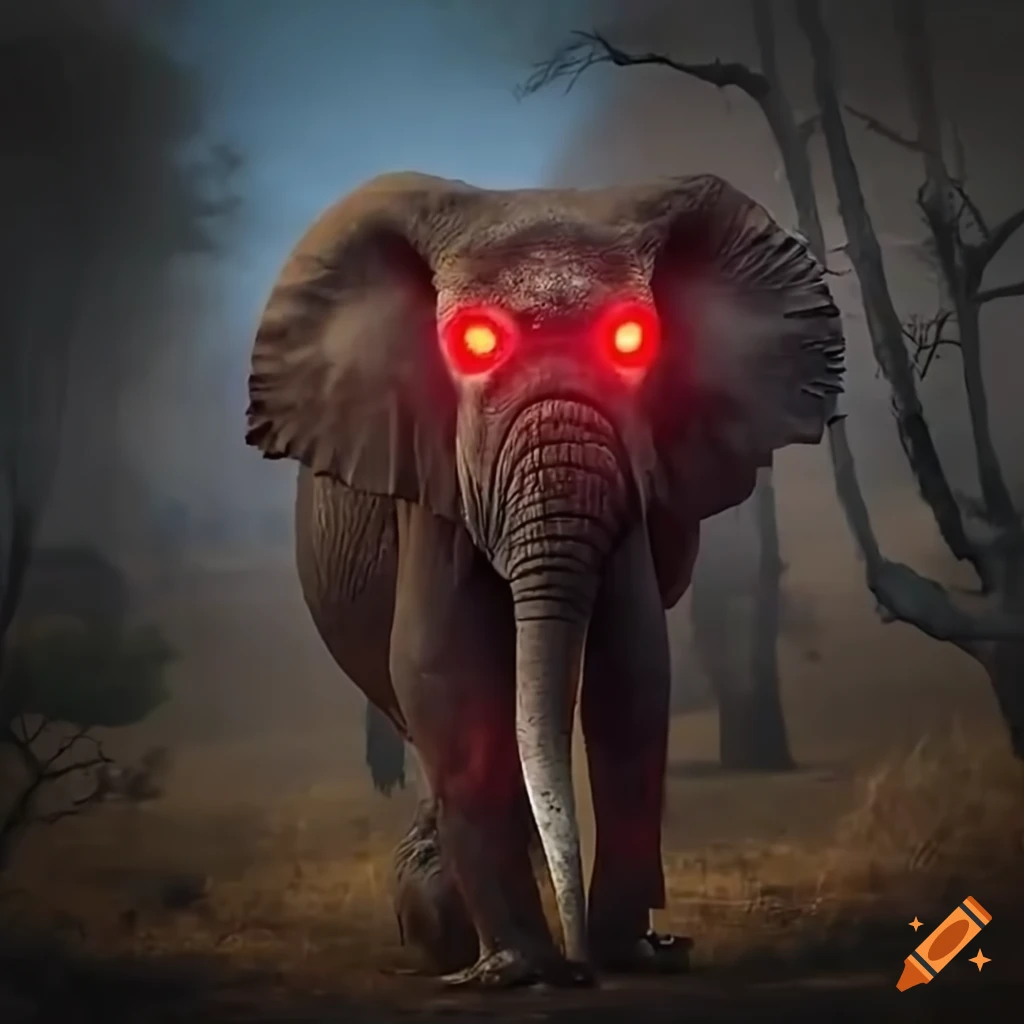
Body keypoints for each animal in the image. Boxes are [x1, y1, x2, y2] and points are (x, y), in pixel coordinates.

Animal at [245, 171, 844, 988]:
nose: (580, 966)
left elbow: (632, 669)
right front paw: (516, 968)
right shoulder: (431, 469)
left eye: (632, 340)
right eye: (474, 343)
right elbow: (443, 667)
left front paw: (624, 953)